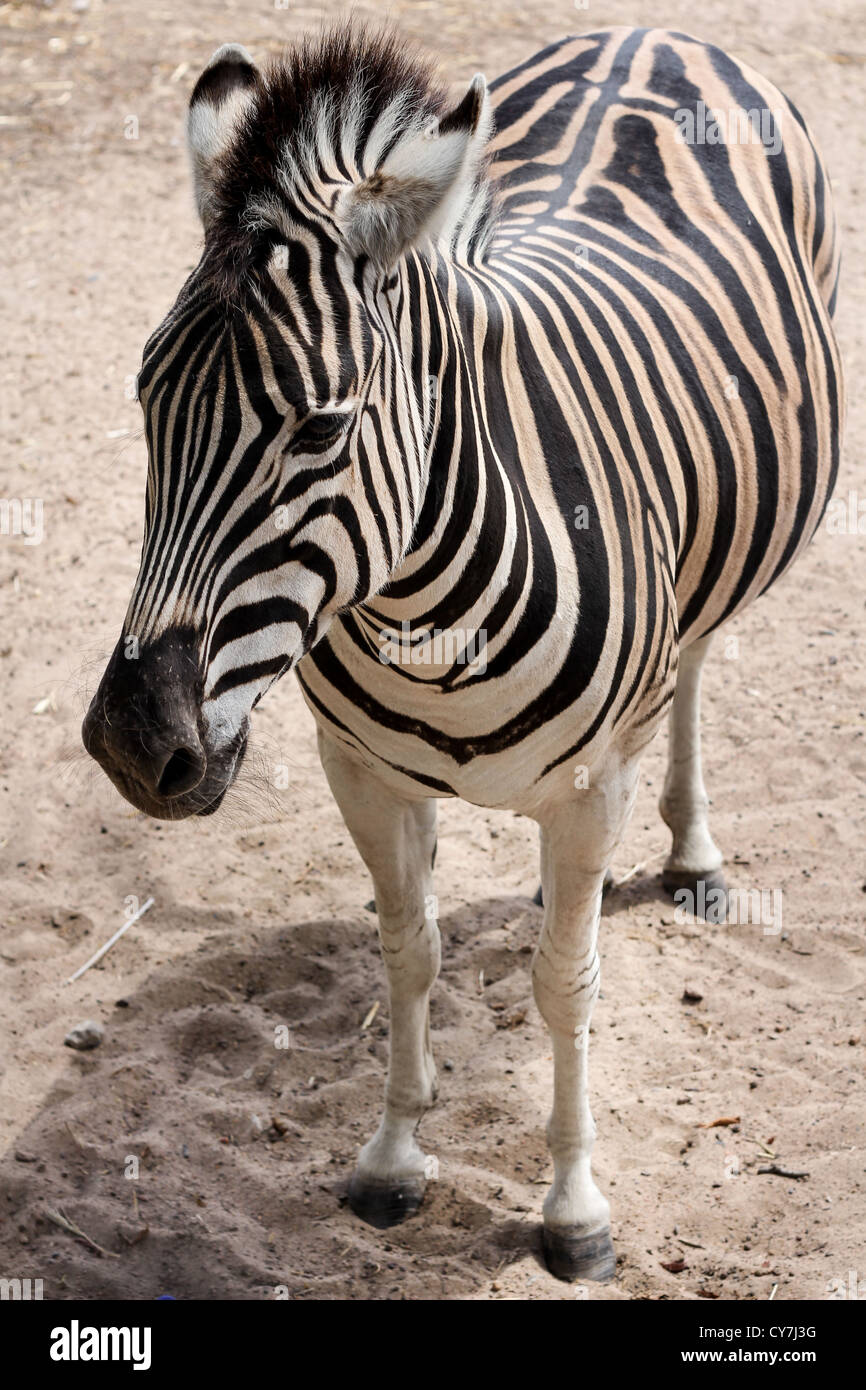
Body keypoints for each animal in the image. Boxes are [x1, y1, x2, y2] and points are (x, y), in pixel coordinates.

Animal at [82, 24, 843, 1282]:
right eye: (145, 401)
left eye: (320, 427)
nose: (134, 743)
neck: (425, 615)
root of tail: (648, 30)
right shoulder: (362, 775)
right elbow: (409, 952)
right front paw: (394, 1156)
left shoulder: (586, 786)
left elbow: (563, 981)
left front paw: (573, 1208)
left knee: (690, 664)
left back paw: (688, 849)